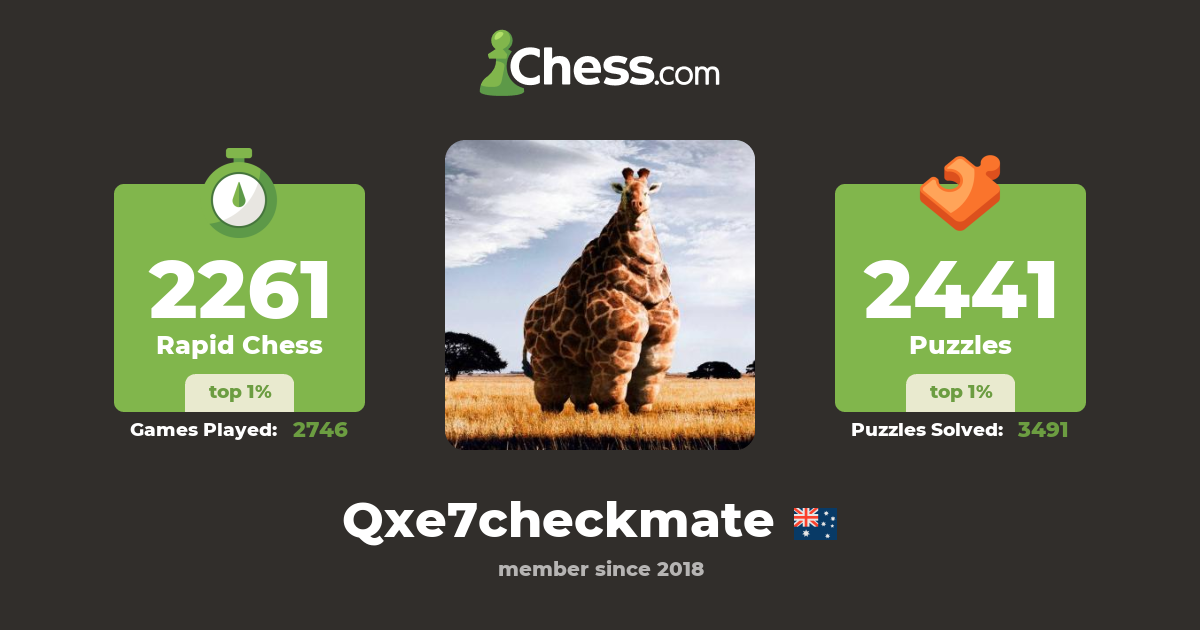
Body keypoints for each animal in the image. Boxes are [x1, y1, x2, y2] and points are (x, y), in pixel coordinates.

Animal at [524, 168, 680, 414]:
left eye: (647, 191)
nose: (637, 205)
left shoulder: (662, 337)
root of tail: (527, 314)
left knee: (580, 384)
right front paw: (611, 410)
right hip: (544, 352)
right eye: (624, 192)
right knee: (549, 385)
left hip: (574, 355)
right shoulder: (618, 335)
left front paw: (641, 410)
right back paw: (552, 410)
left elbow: (650, 370)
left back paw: (586, 409)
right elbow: (616, 372)